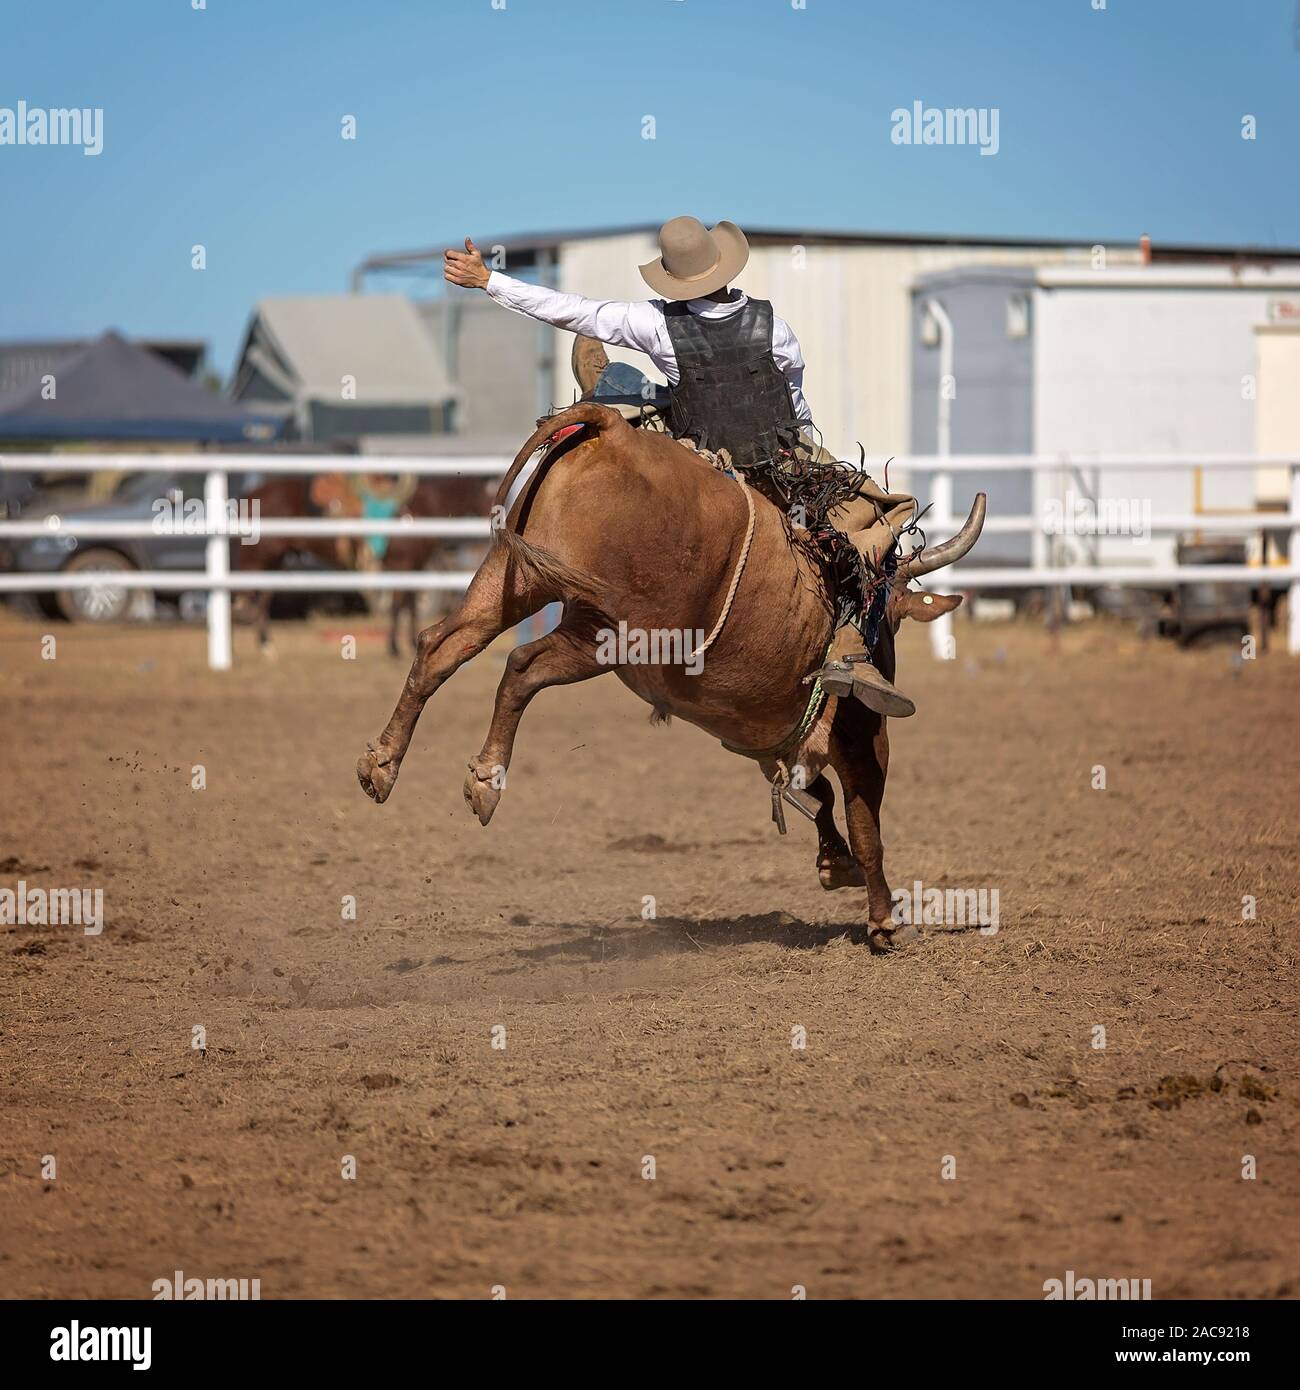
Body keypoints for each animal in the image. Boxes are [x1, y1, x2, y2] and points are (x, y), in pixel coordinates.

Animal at [236, 472, 494, 656]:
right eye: (483, 492)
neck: (419, 509)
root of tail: (251, 495)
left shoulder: (415, 566)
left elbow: (409, 604)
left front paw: (408, 642)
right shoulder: (402, 565)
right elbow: (398, 604)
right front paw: (394, 647)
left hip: (275, 559)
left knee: (263, 596)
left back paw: (266, 643)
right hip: (259, 555)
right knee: (251, 593)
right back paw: (258, 635)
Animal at [355, 397, 984, 950]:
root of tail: (612, 428)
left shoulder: (771, 738)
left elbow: (819, 794)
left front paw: (834, 861)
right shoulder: (861, 735)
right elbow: (863, 819)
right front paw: (883, 921)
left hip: (513, 577)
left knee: (441, 646)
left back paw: (381, 764)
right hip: (608, 632)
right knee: (520, 668)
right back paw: (486, 779)